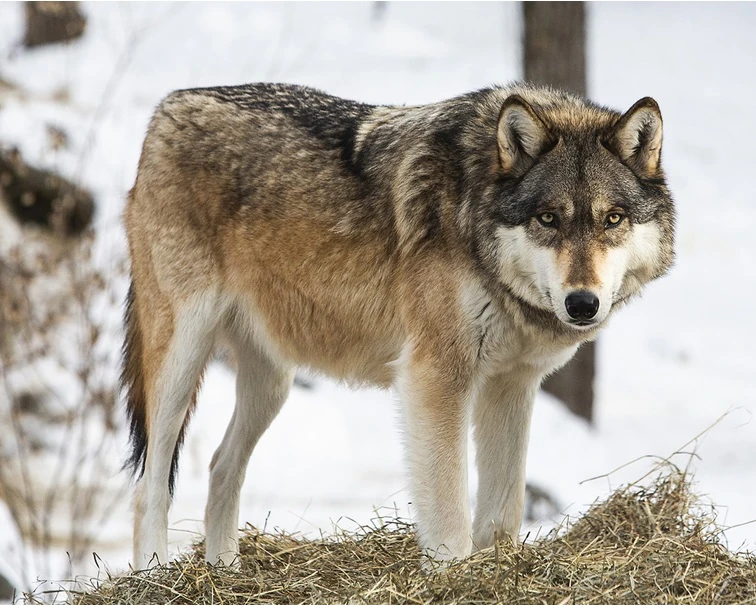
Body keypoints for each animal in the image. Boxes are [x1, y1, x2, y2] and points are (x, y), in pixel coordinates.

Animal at [123, 82, 675, 567]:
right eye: (548, 218)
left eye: (612, 218)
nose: (582, 303)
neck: (471, 214)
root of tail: (167, 106)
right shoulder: (436, 378)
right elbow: (451, 519)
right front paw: (454, 576)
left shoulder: (512, 386)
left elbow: (501, 515)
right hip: (183, 356)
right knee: (150, 486)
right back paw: (155, 575)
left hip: (272, 383)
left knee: (221, 468)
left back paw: (224, 572)